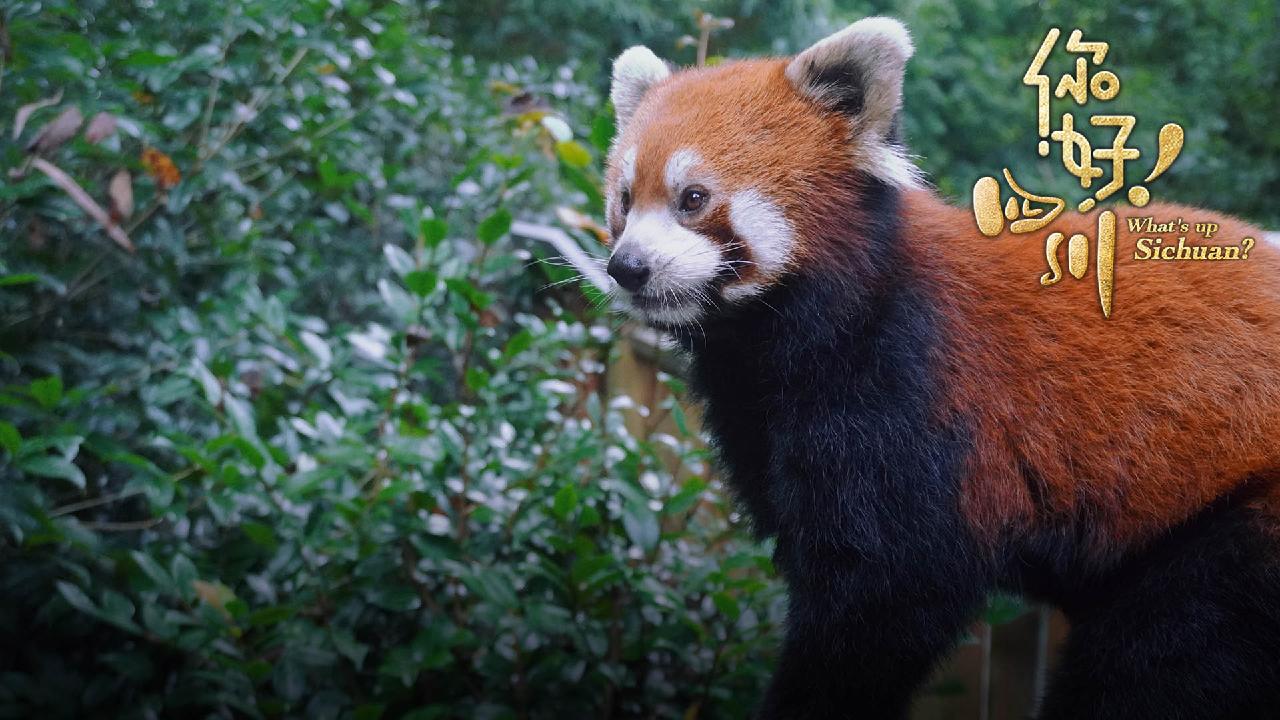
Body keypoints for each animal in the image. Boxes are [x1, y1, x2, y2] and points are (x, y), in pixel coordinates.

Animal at [601, 16, 1280, 720]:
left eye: (693, 198)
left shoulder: (912, 395)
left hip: (1238, 521)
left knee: (1165, 656)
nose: (628, 267)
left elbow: (887, 596)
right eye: (624, 199)